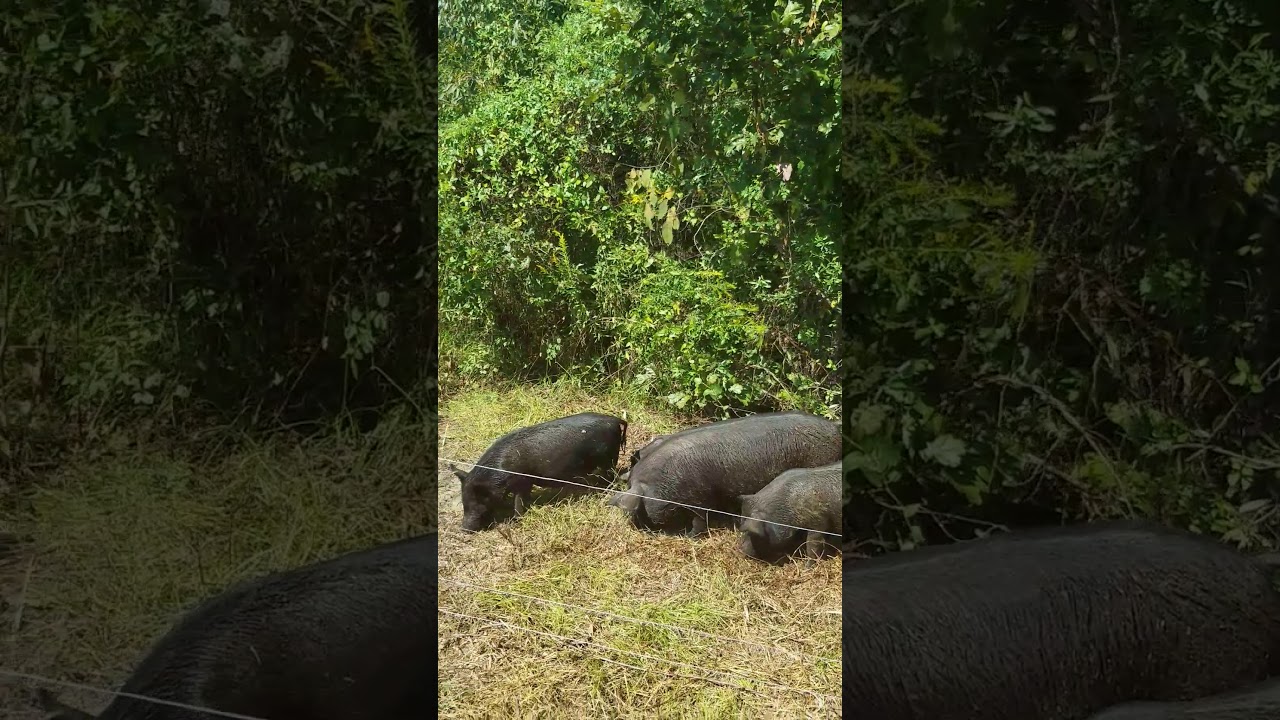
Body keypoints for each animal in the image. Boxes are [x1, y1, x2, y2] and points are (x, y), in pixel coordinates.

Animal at [451, 412, 626, 531]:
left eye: (478, 498)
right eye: (463, 500)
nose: (464, 529)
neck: (498, 473)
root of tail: (614, 419)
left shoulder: (522, 481)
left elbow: (519, 502)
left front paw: (516, 520)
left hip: (609, 458)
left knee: (611, 476)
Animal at [613, 412, 840, 536]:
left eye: (641, 500)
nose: (637, 525)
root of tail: (836, 431)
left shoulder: (700, 498)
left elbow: (699, 521)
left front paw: (689, 536)